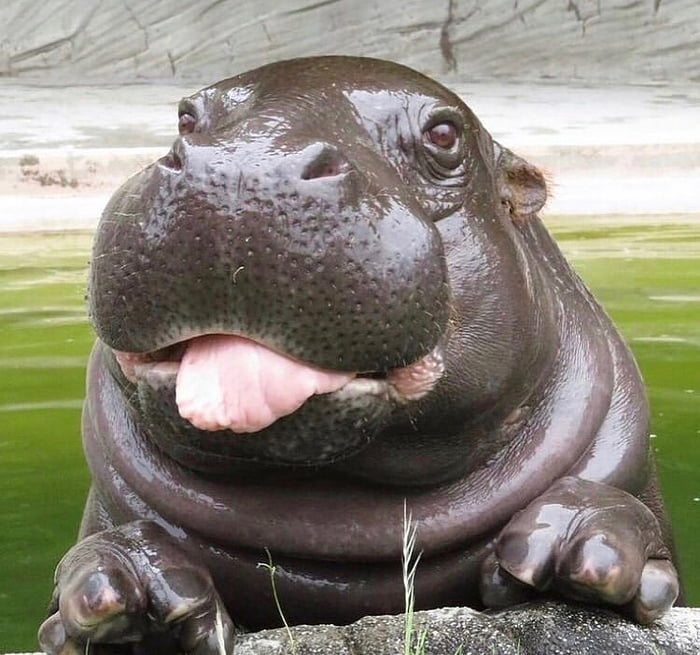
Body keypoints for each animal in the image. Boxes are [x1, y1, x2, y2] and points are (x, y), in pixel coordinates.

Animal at [39, 56, 680, 655]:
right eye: (185, 116)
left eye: (444, 135)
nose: (241, 165)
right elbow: (89, 555)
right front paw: (129, 584)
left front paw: (580, 538)